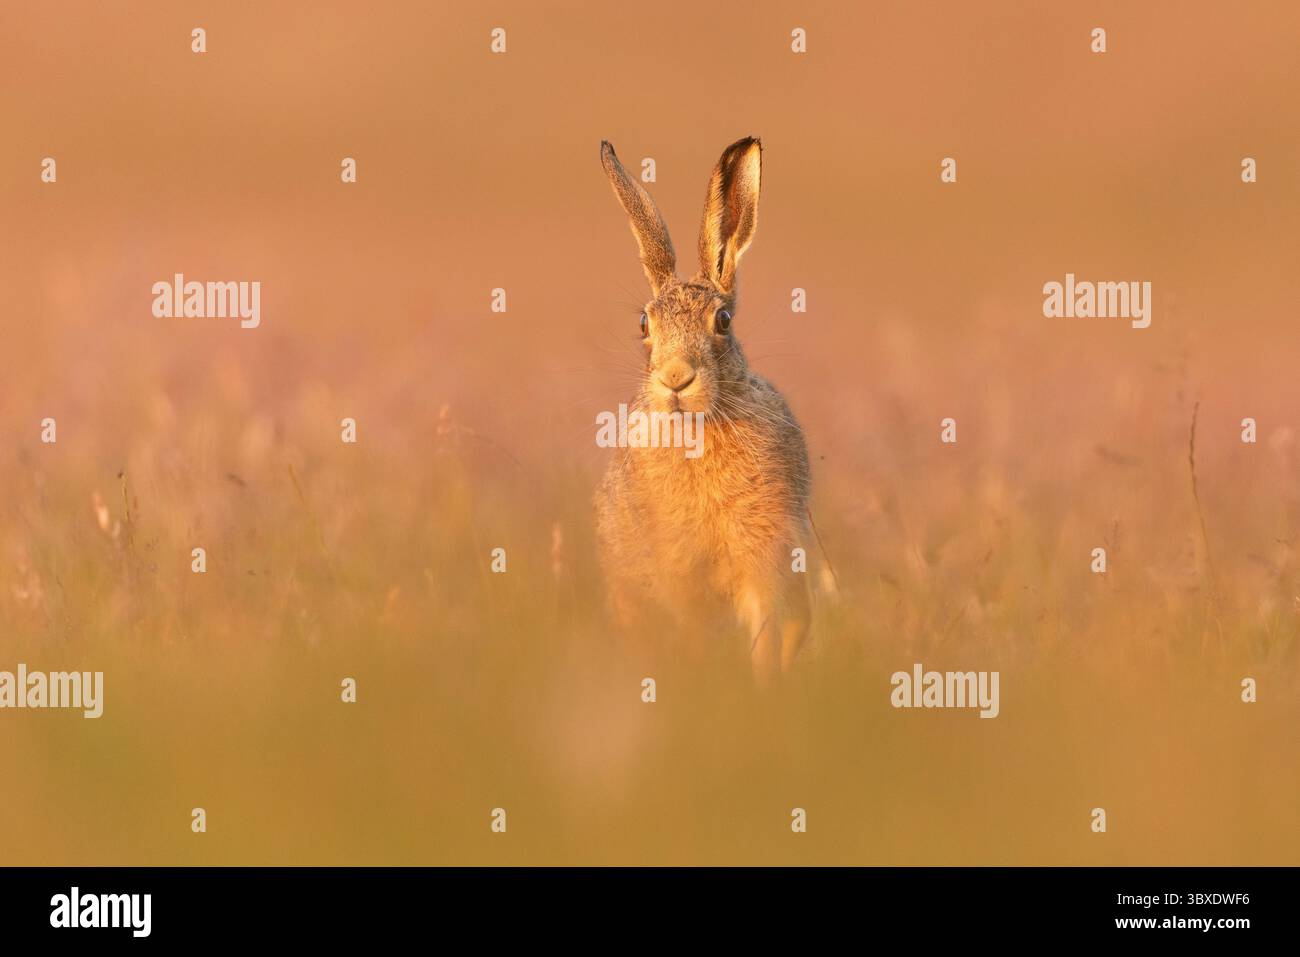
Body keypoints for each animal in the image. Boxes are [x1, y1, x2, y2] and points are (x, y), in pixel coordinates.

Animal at [595, 136, 812, 682]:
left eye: (723, 320)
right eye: (644, 326)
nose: (676, 378)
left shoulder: (765, 555)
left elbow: (764, 630)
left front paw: (764, 686)